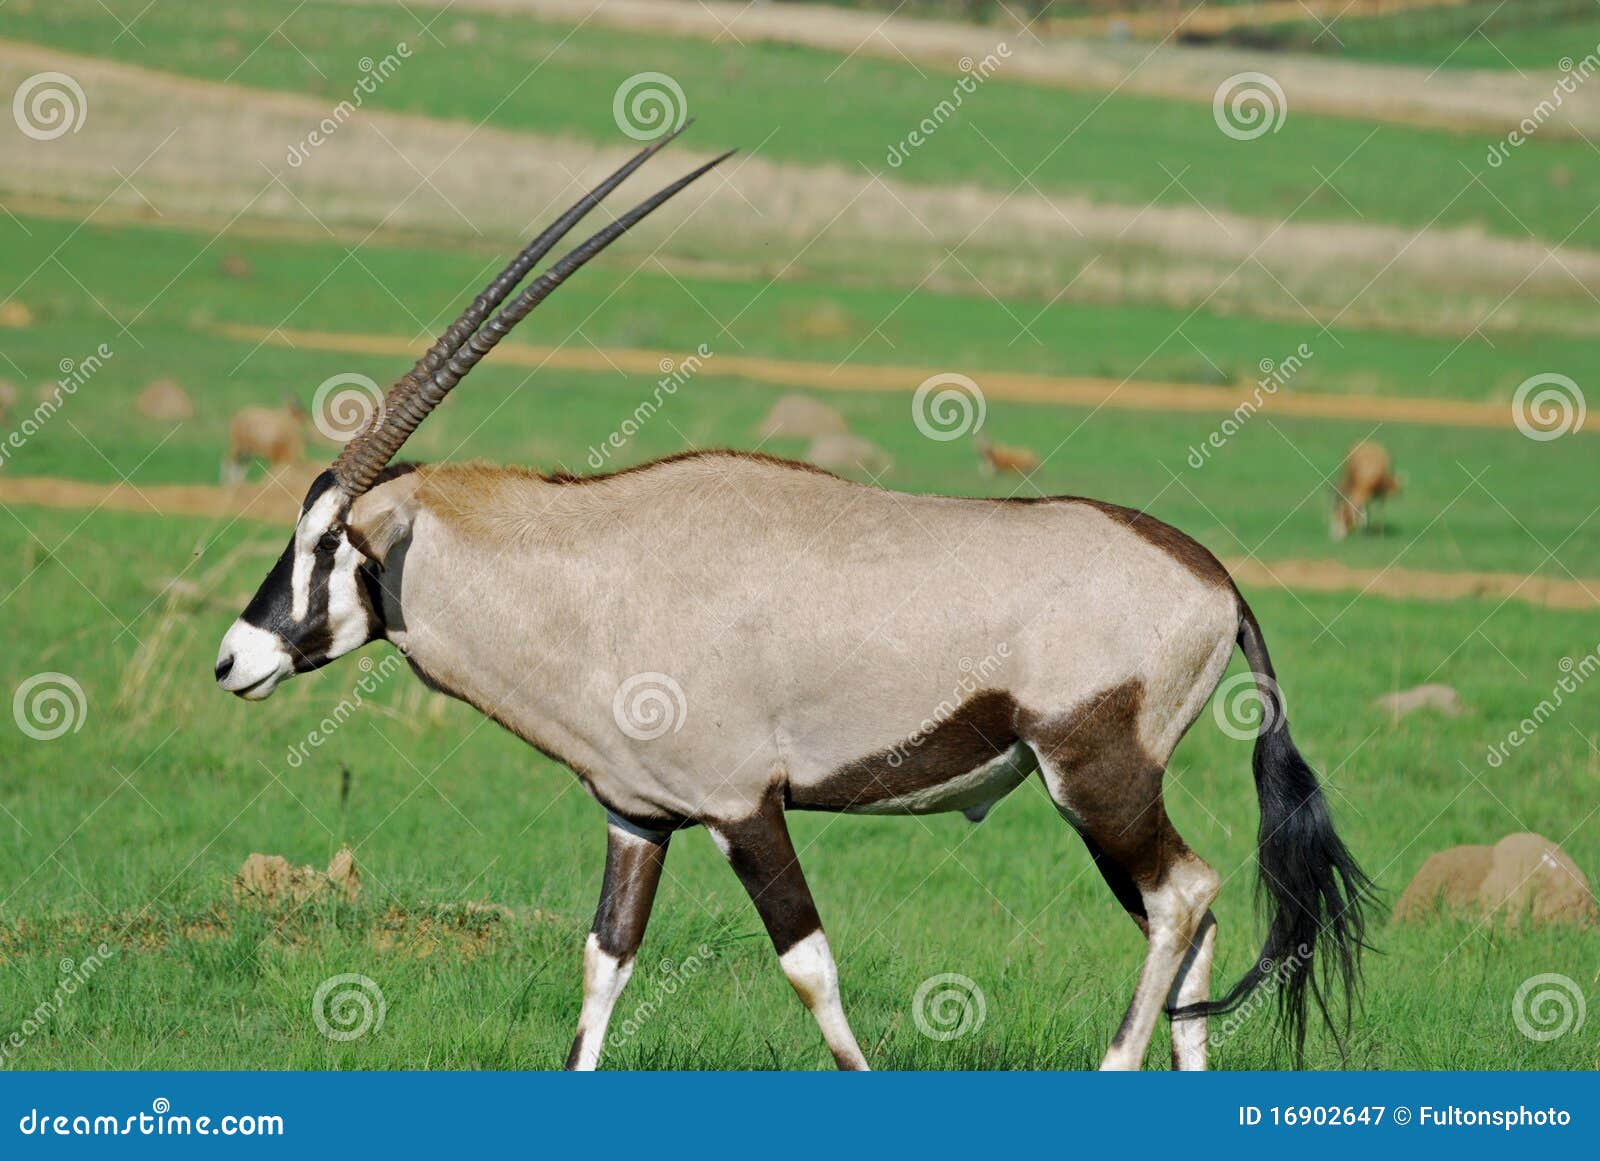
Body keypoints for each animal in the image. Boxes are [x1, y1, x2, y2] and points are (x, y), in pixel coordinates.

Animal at [215, 132, 1370, 1071]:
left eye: (328, 542)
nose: (234, 659)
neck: (594, 571)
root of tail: (1213, 578)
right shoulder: (638, 815)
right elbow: (603, 964)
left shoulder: (743, 805)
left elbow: (809, 966)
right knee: (1192, 916)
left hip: (1094, 773)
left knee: (1184, 895)